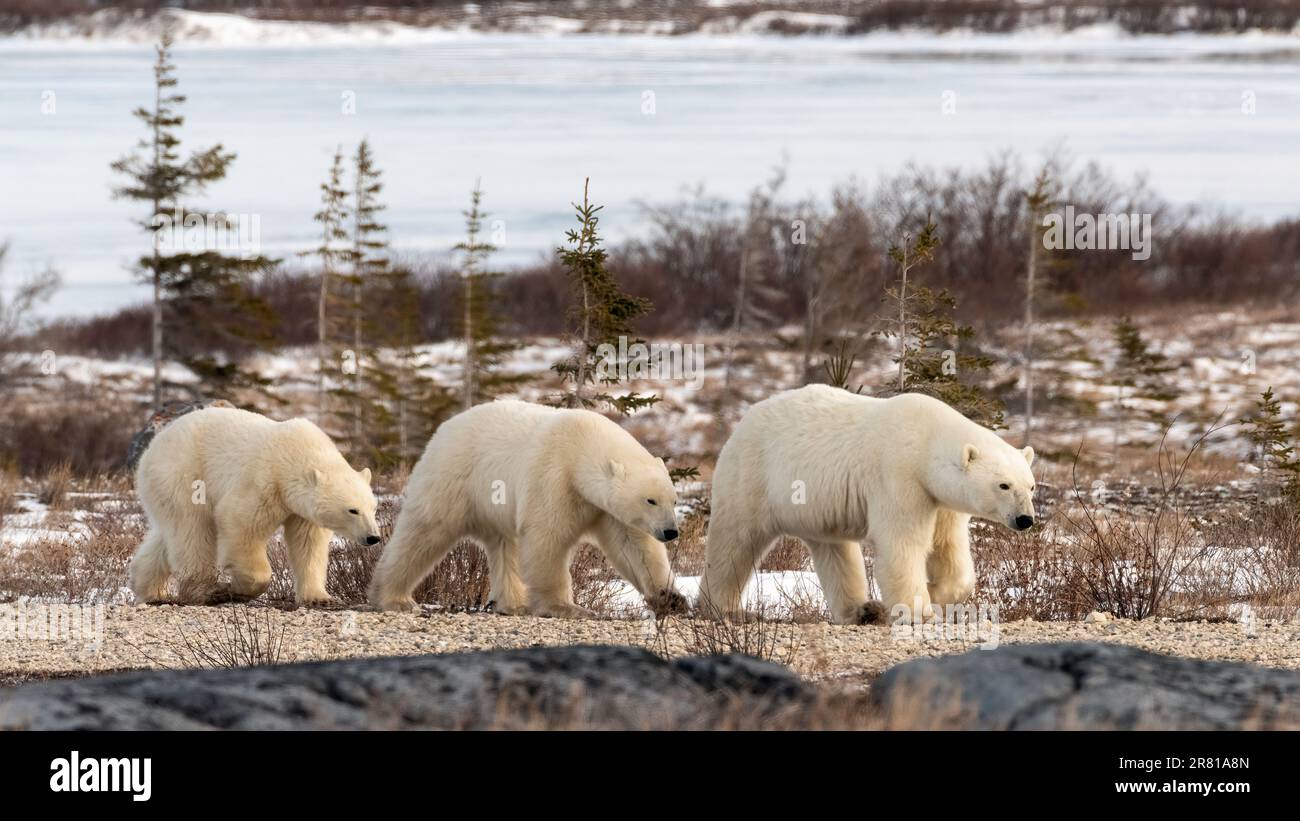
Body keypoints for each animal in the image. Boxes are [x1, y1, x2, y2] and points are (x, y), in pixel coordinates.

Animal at [129, 406, 381, 606]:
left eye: (373, 508)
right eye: (352, 510)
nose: (373, 537)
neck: (295, 455)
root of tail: (150, 450)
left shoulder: (302, 511)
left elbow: (308, 543)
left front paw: (320, 597)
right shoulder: (264, 481)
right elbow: (241, 524)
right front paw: (239, 588)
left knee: (167, 537)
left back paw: (150, 590)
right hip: (183, 476)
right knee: (193, 531)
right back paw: (206, 591)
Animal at [367, 400, 688, 619]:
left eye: (673, 500)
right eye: (650, 500)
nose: (670, 532)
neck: (581, 445)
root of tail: (441, 430)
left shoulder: (604, 508)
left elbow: (633, 546)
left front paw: (671, 598)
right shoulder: (555, 475)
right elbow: (547, 537)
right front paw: (565, 607)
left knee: (503, 545)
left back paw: (513, 603)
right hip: (453, 480)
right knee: (424, 531)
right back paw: (394, 598)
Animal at [697, 386, 1037, 625]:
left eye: (1031, 485)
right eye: (1004, 485)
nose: (1025, 519)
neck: (925, 441)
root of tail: (743, 421)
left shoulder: (941, 498)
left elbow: (947, 547)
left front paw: (939, 592)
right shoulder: (899, 476)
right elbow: (903, 544)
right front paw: (918, 610)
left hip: (817, 506)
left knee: (834, 552)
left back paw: (863, 610)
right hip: (753, 476)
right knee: (734, 540)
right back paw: (721, 607)